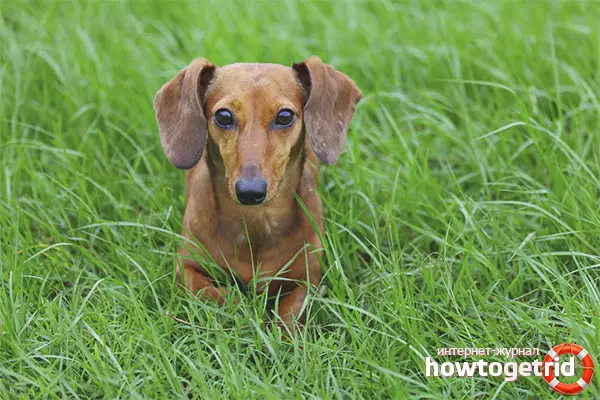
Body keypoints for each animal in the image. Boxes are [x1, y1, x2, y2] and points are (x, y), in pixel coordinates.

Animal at [155, 54, 360, 332]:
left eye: (284, 116)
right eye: (223, 115)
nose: (250, 191)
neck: (256, 223)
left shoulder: (307, 280)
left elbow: (289, 315)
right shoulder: (185, 268)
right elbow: (215, 294)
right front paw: (243, 311)